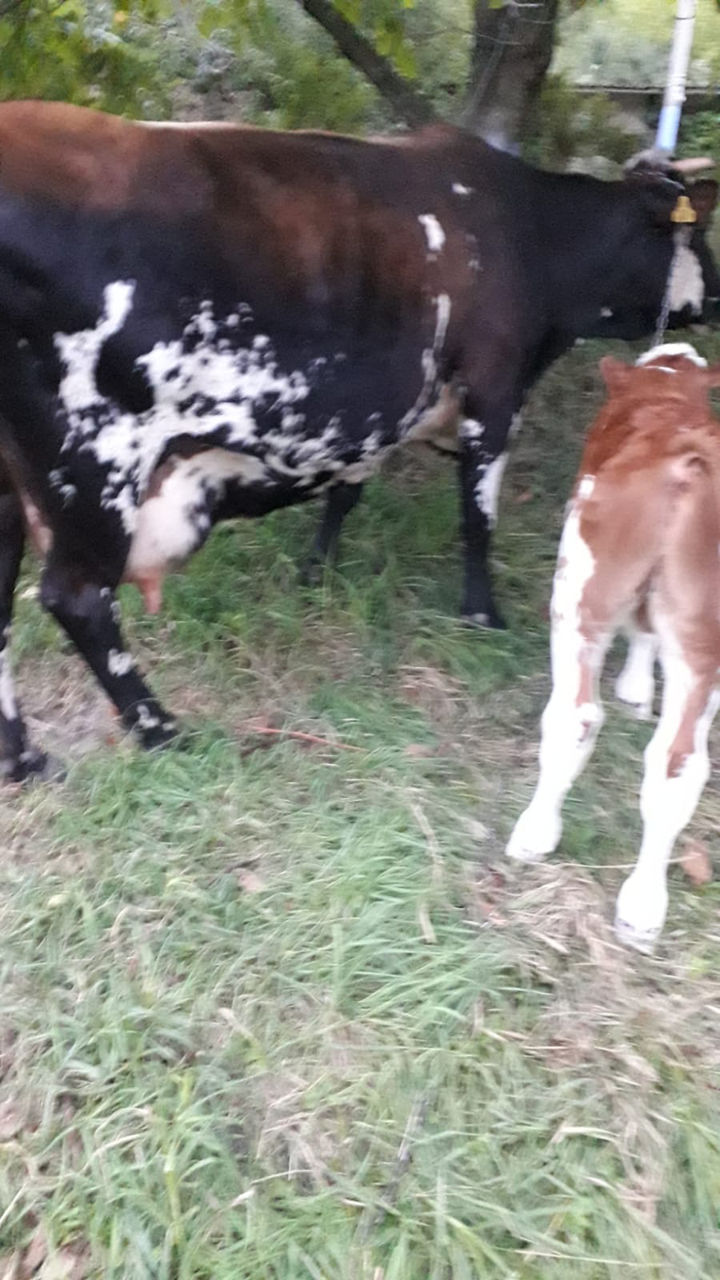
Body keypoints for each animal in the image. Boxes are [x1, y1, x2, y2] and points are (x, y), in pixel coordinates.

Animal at [0, 100, 718, 781]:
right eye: (702, 234)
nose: (716, 297)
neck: (530, 231)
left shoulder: (379, 411)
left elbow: (347, 491)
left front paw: (316, 573)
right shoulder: (493, 390)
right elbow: (477, 517)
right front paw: (481, 614)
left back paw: (25, 760)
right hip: (99, 460)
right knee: (77, 597)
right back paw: (161, 731)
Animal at [506, 343, 720, 952]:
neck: (664, 392)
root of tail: (690, 459)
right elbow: (645, 633)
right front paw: (637, 689)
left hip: (579, 591)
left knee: (573, 718)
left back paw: (534, 832)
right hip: (704, 635)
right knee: (678, 763)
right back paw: (643, 906)